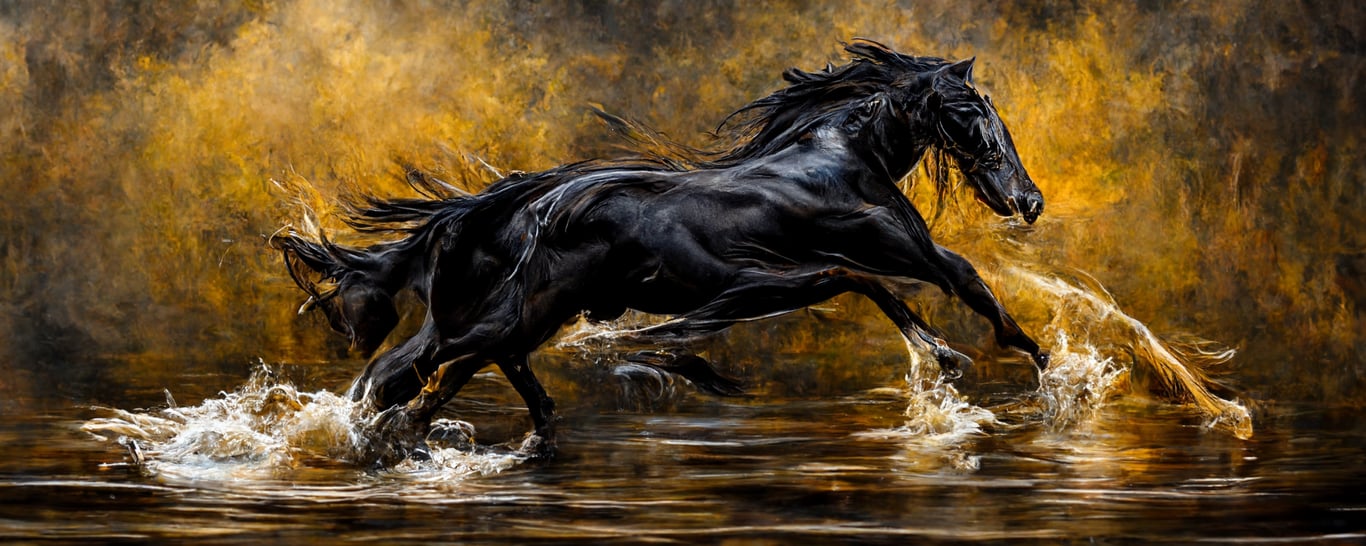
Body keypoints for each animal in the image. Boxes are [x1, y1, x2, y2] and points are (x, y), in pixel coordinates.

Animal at [273, 40, 1048, 464]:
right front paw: (1040, 366)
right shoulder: (839, 261)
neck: (840, 163)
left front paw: (954, 361)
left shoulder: (785, 275)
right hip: (520, 314)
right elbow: (946, 280)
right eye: (973, 112)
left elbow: (888, 285)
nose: (1028, 201)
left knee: (426, 371)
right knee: (436, 369)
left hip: (514, 316)